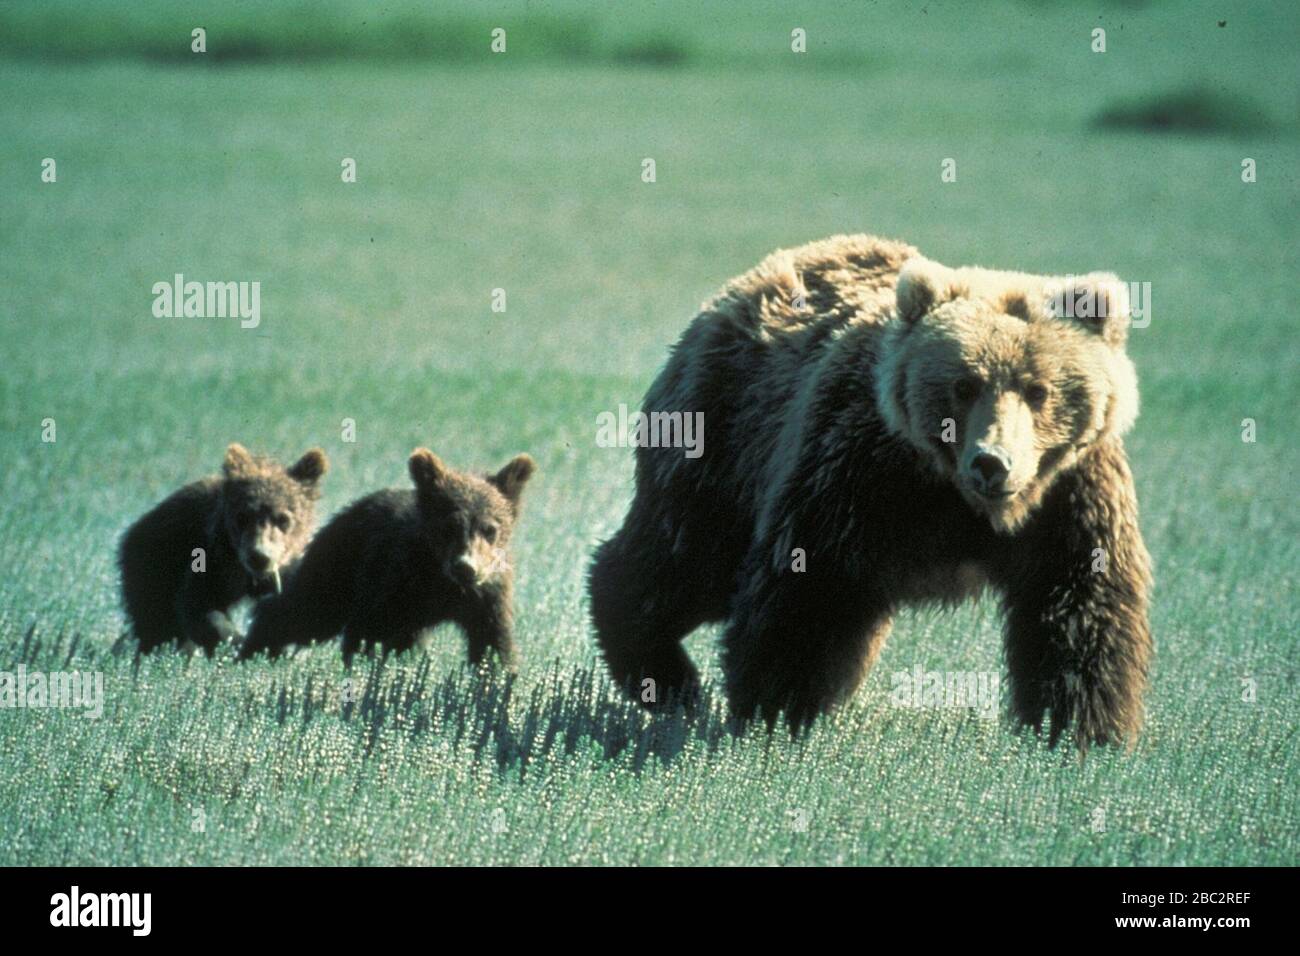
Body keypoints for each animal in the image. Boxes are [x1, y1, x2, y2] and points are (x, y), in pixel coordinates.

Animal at [118, 443, 328, 655]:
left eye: (283, 518)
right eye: (242, 517)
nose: (259, 556)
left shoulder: (290, 569)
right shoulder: (213, 561)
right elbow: (199, 606)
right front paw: (235, 642)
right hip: (153, 564)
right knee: (156, 626)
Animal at [237, 448, 536, 667]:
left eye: (490, 529)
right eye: (449, 526)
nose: (466, 567)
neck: (442, 581)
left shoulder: (487, 595)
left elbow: (493, 642)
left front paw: (496, 678)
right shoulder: (395, 580)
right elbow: (370, 631)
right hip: (337, 563)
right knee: (305, 609)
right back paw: (255, 650)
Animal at [588, 233, 1153, 750]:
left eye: (1039, 390)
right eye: (964, 384)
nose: (992, 462)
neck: (962, 503)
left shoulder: (1072, 496)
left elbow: (1078, 607)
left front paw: (1080, 731)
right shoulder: (858, 471)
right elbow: (810, 586)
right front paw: (774, 711)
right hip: (723, 438)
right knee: (681, 558)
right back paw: (665, 676)